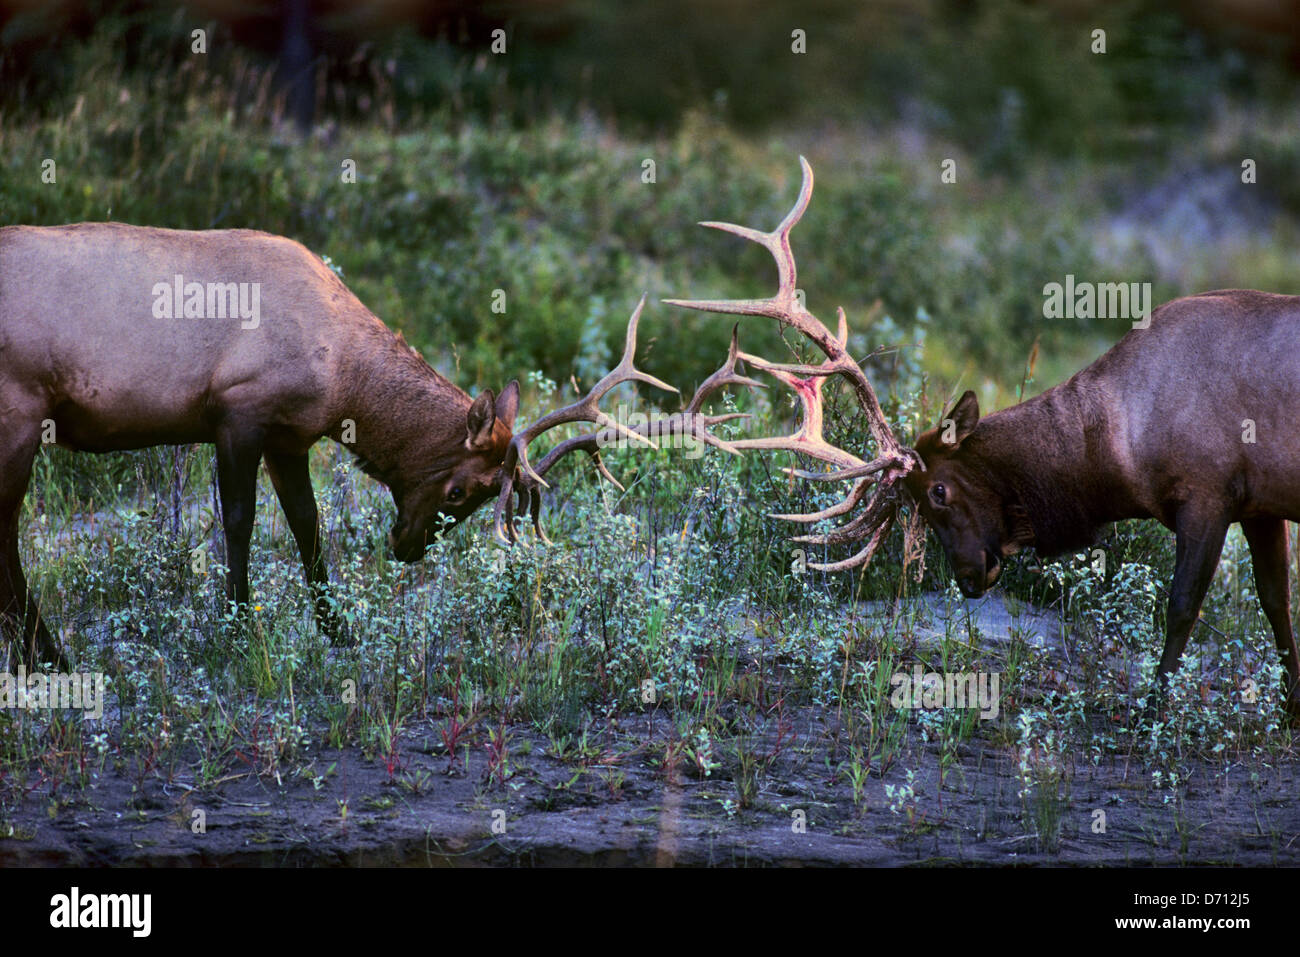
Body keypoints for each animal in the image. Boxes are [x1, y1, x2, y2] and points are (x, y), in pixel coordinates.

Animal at [0, 223, 745, 670]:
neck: (343, 380)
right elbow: (239, 524)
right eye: (460, 488)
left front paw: (341, 632)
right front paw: (239, 632)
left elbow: (307, 527)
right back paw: (49, 654)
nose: (407, 546)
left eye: (481, 500)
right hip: (19, 411)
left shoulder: (288, 435)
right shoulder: (238, 411)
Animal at [667, 157, 1300, 720]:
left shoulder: (1208, 492)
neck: (1120, 450)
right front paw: (1292, 708)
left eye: (938, 491)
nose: (969, 578)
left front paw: (1152, 711)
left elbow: (1182, 605)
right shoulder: (1261, 505)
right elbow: (1277, 604)